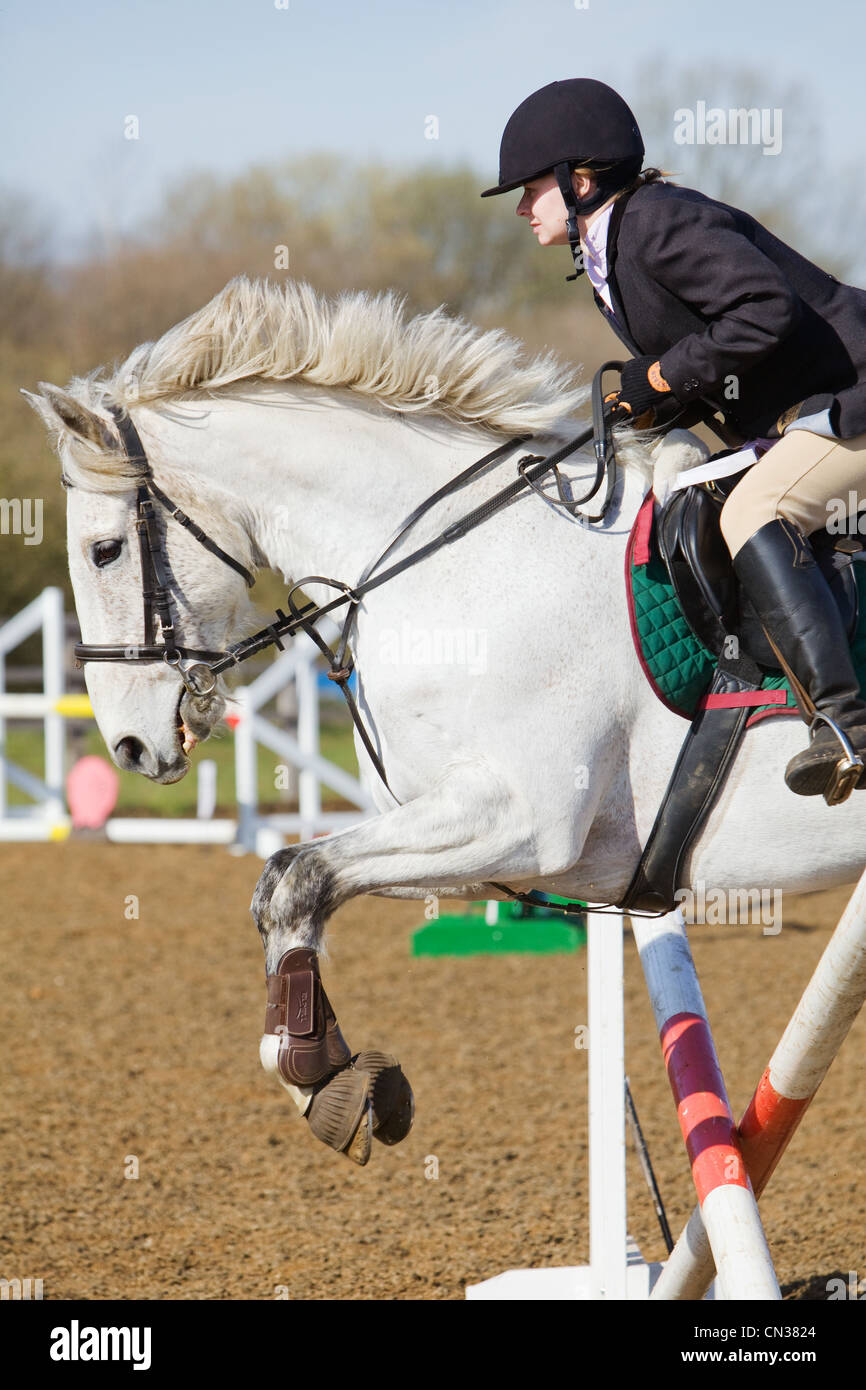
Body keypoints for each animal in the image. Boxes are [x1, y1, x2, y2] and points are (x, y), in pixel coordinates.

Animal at [24, 275, 866, 1163]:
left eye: (105, 552)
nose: (129, 746)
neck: (459, 563)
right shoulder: (468, 833)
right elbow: (285, 878)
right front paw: (328, 1078)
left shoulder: (527, 821)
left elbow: (302, 878)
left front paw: (317, 1070)